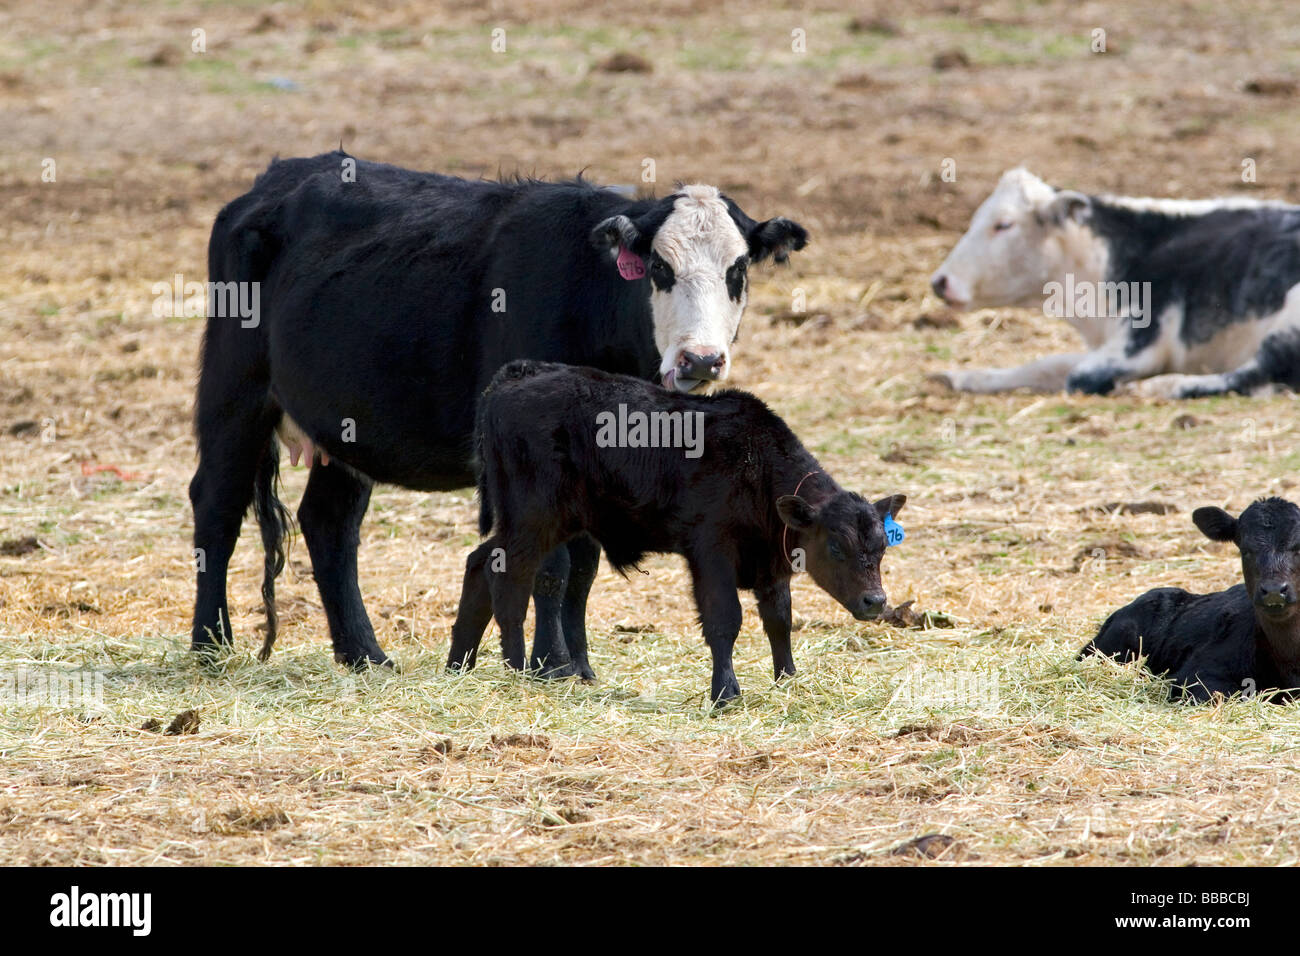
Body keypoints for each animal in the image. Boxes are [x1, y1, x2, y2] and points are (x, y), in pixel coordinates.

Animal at [191, 151, 808, 676]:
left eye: (737, 270)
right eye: (659, 266)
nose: (700, 358)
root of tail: (271, 182)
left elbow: (581, 563)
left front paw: (577, 667)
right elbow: (553, 566)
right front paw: (551, 666)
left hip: (344, 425)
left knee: (329, 523)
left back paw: (365, 654)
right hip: (235, 388)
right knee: (217, 504)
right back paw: (210, 644)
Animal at [446, 361, 908, 704]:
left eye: (881, 547)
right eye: (836, 546)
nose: (875, 602)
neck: (755, 463)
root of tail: (517, 377)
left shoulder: (770, 564)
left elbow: (779, 620)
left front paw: (788, 679)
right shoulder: (711, 554)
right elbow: (725, 620)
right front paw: (726, 694)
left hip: (539, 523)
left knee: (478, 563)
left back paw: (459, 664)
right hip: (533, 521)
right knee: (508, 579)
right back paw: (516, 668)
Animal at [929, 167, 1300, 398]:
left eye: (1003, 224)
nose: (940, 281)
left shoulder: (1140, 342)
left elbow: (1076, 376)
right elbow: (1045, 365)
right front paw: (962, 377)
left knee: (1255, 374)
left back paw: (1162, 386)